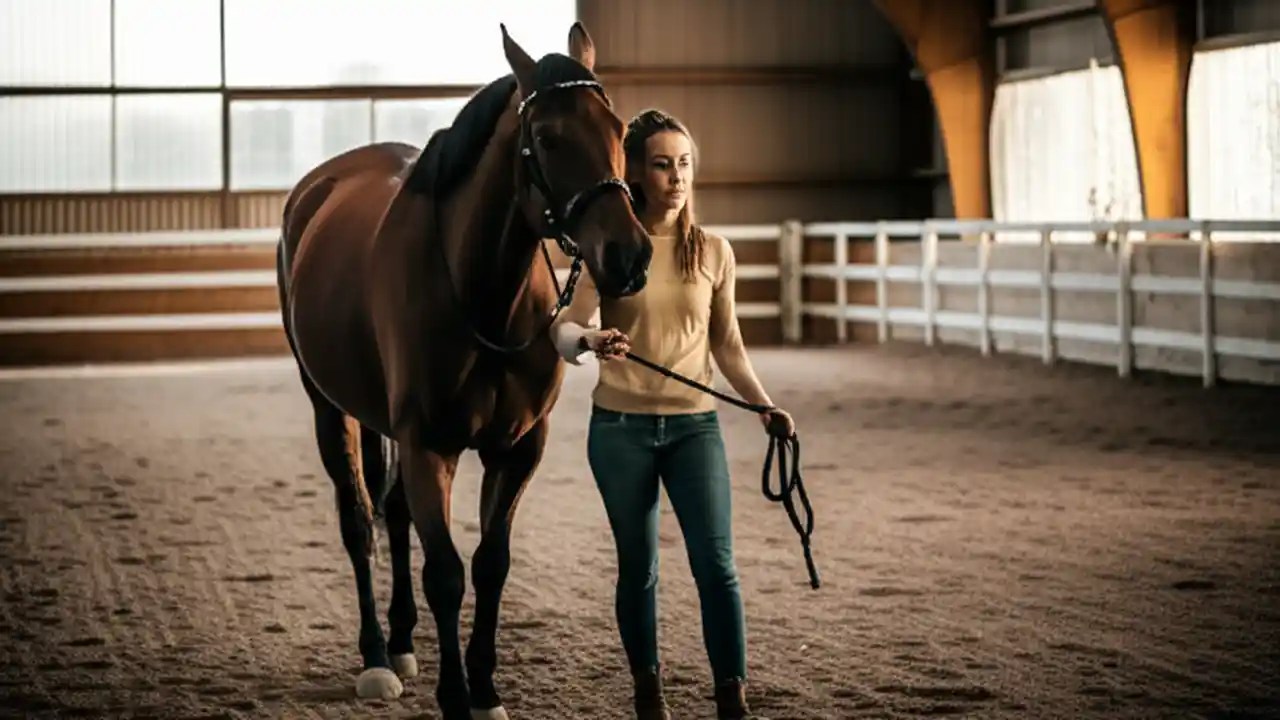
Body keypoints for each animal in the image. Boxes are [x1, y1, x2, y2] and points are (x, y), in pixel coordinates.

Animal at [274, 21, 653, 720]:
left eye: (617, 129)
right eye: (547, 138)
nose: (630, 256)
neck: (483, 298)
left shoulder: (518, 449)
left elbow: (490, 563)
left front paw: (485, 690)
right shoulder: (431, 447)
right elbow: (446, 573)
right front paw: (455, 695)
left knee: (393, 513)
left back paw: (401, 642)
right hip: (328, 407)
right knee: (358, 519)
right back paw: (376, 656)